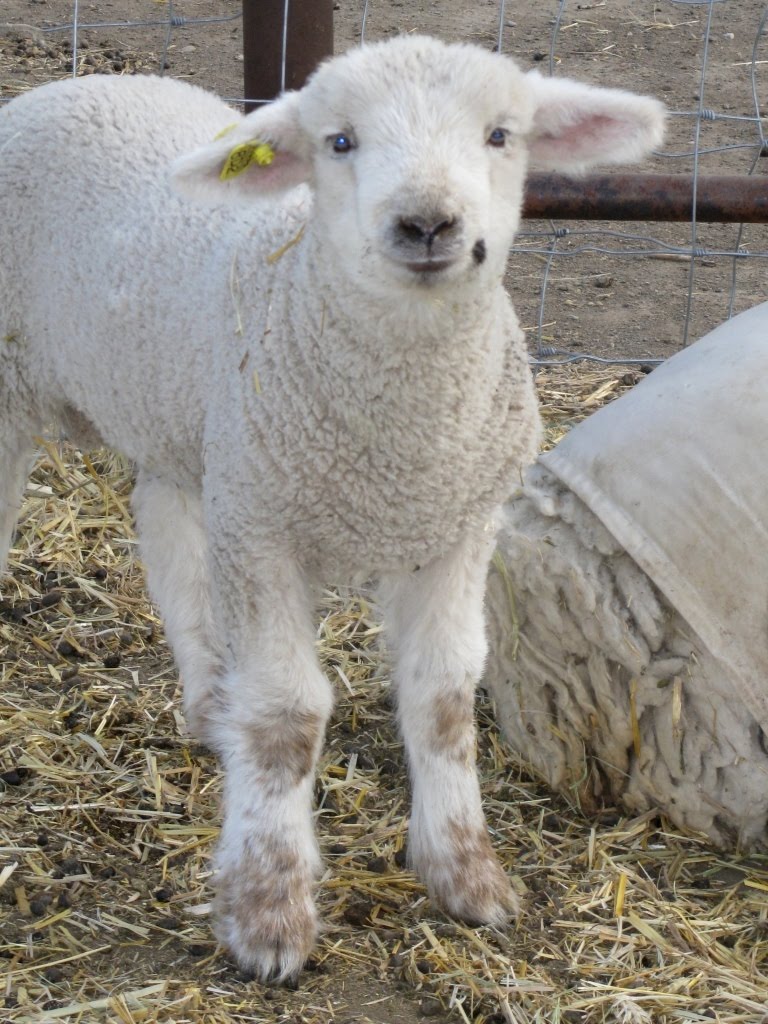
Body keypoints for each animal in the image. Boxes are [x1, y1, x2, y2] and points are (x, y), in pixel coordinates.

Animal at [0, 35, 664, 979]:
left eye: (500, 134)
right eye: (340, 142)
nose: (427, 224)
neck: (397, 444)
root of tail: (81, 80)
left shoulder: (456, 528)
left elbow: (444, 696)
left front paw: (465, 875)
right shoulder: (263, 531)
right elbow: (285, 716)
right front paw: (268, 911)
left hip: (195, 427)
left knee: (167, 536)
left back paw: (210, 707)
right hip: (32, 396)